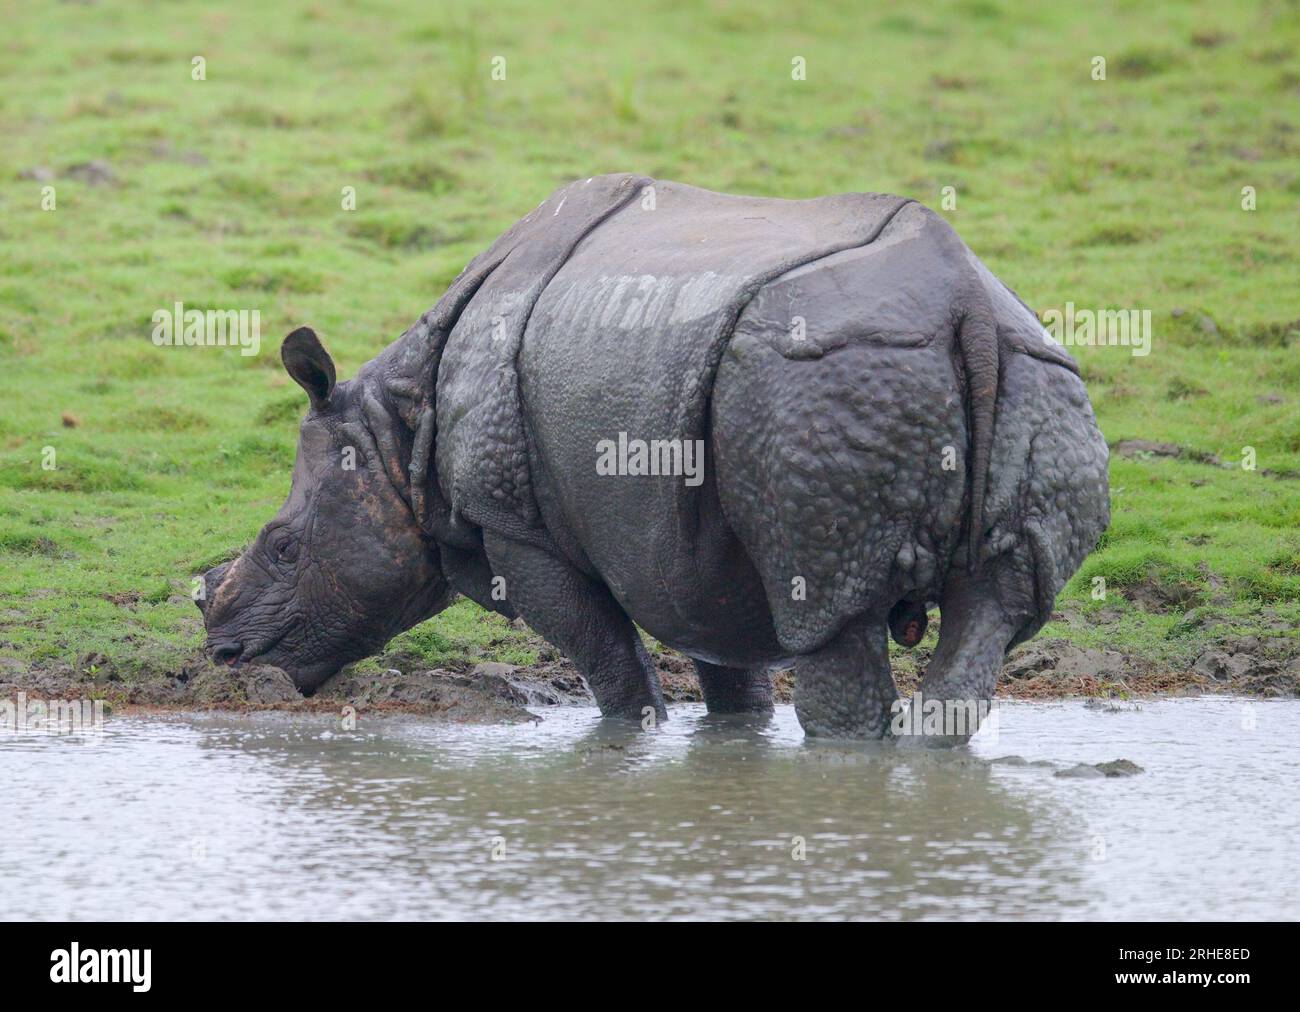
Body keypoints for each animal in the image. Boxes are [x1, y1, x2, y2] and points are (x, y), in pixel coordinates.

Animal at [197, 174, 1109, 742]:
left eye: (286, 546)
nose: (226, 657)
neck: (398, 429)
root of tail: (965, 304)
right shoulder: (690, 540)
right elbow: (724, 659)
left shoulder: (514, 522)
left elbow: (608, 659)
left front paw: (632, 741)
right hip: (1033, 379)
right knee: (994, 606)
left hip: (821, 386)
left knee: (833, 621)